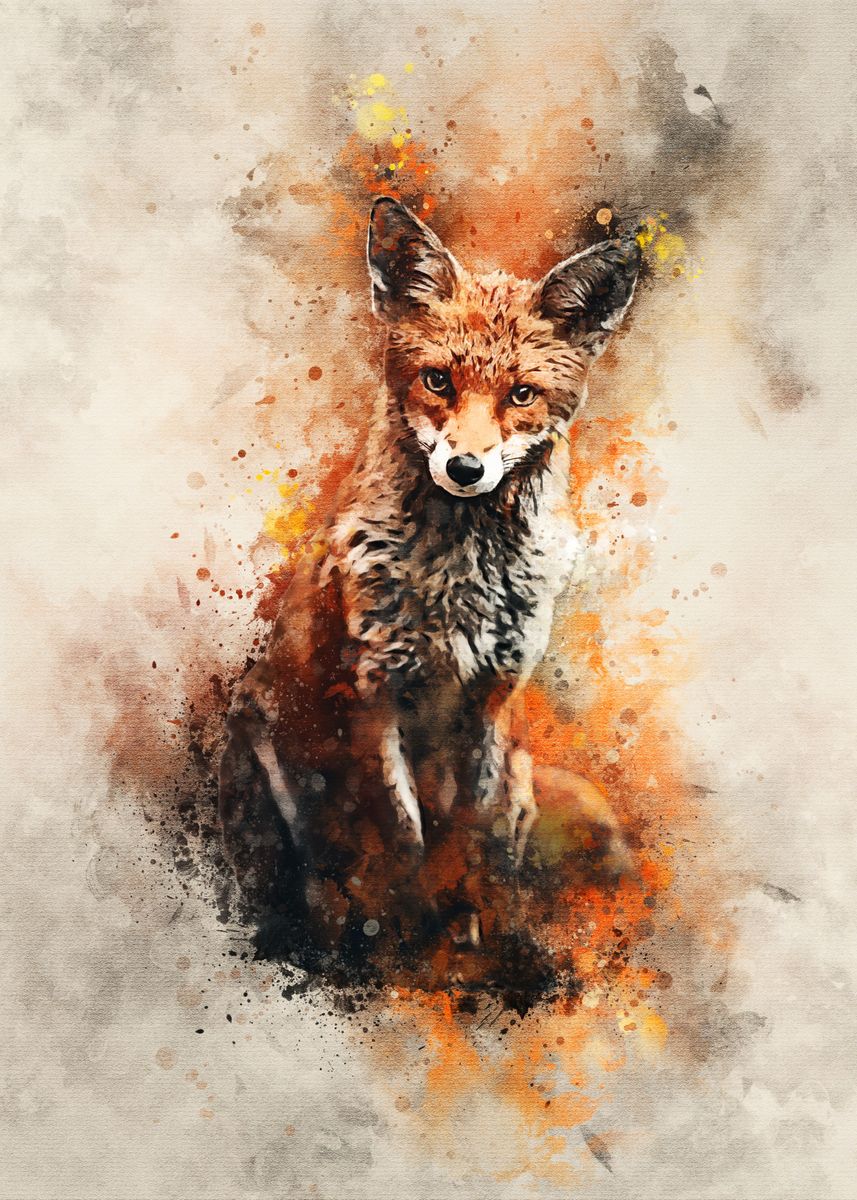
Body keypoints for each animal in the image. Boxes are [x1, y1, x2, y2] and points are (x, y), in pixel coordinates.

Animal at [219, 196, 640, 950]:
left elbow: (468, 836)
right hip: (257, 752)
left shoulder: (491, 698)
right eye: (437, 380)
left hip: (516, 774)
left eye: (521, 394)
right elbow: (403, 836)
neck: (459, 587)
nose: (466, 468)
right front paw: (408, 945)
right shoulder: (370, 694)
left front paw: (463, 935)